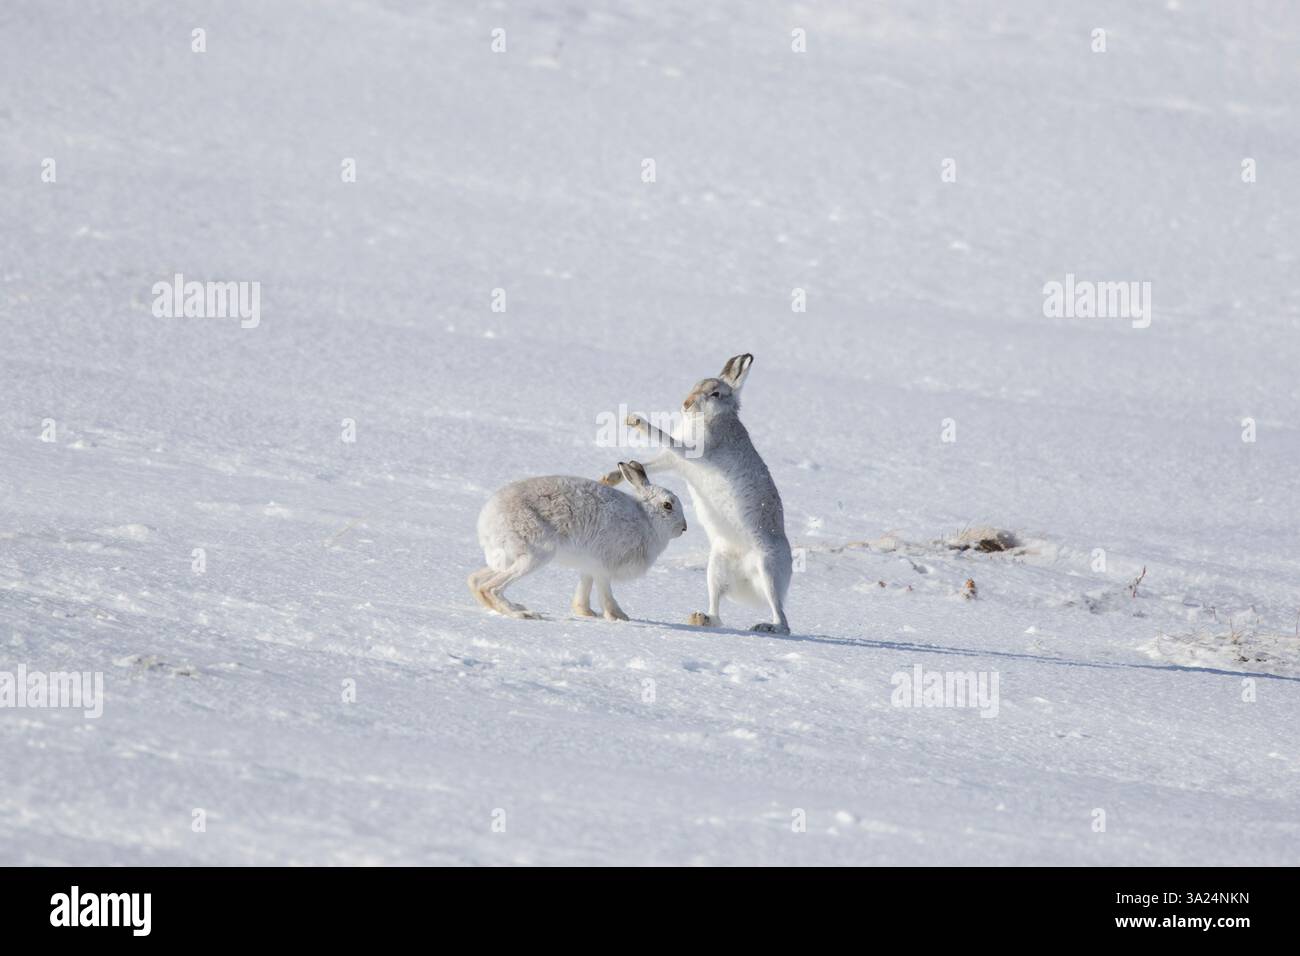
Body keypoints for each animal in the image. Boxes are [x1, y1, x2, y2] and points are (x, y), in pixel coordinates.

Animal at [469, 461, 687, 621]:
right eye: (668, 505)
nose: (684, 528)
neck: (646, 518)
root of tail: (485, 522)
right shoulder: (604, 565)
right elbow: (605, 592)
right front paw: (619, 617)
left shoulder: (589, 566)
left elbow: (585, 587)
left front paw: (586, 613)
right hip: (536, 553)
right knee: (490, 588)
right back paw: (522, 614)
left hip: (509, 558)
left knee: (475, 580)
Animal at [601, 354, 792, 634]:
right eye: (696, 384)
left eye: (715, 393)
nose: (686, 404)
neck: (709, 418)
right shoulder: (673, 461)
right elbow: (651, 464)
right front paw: (609, 477)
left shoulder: (695, 450)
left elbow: (666, 439)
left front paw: (636, 421)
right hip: (716, 568)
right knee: (718, 610)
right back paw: (701, 618)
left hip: (768, 567)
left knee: (783, 619)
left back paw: (765, 627)